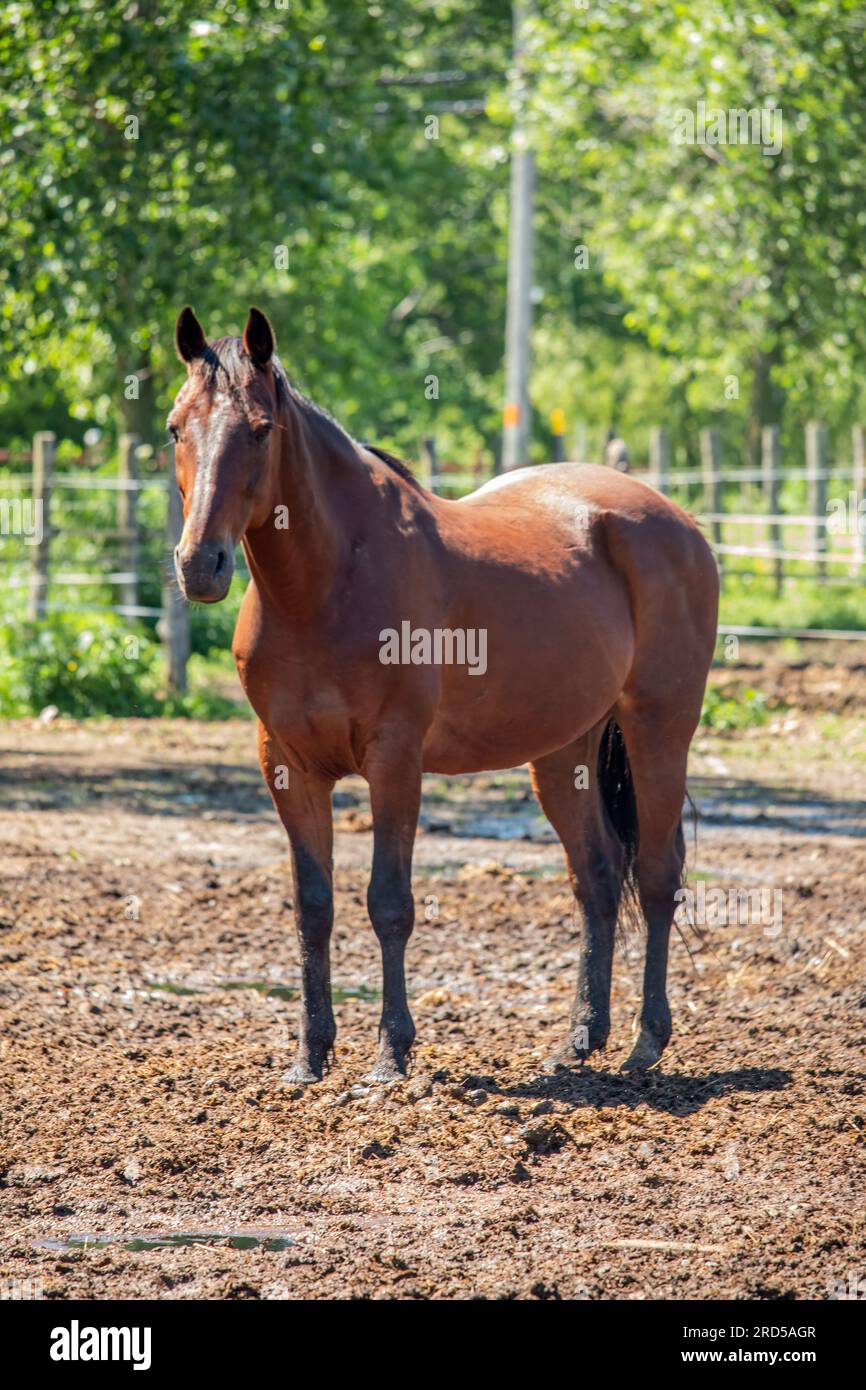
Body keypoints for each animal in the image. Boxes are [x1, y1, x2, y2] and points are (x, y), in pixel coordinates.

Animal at [169, 305, 719, 1085]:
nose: (200, 565)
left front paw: (391, 1054)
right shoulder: (287, 767)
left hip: (658, 730)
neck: (323, 587)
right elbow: (313, 908)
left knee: (659, 872)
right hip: (563, 752)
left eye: (260, 428)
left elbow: (389, 903)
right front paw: (310, 1057)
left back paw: (647, 1042)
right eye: (175, 428)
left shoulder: (395, 761)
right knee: (598, 877)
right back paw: (579, 1039)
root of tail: (678, 522)